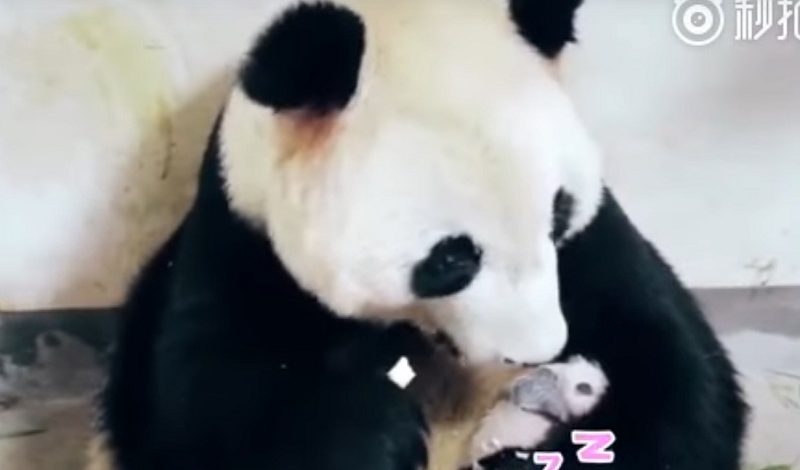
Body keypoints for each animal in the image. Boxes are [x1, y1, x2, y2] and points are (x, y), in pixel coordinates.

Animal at [88, 1, 748, 469]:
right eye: (452, 259)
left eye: (558, 216)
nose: (539, 350)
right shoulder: (241, 250)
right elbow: (212, 423)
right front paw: (381, 429)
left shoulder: (593, 248)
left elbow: (675, 375)